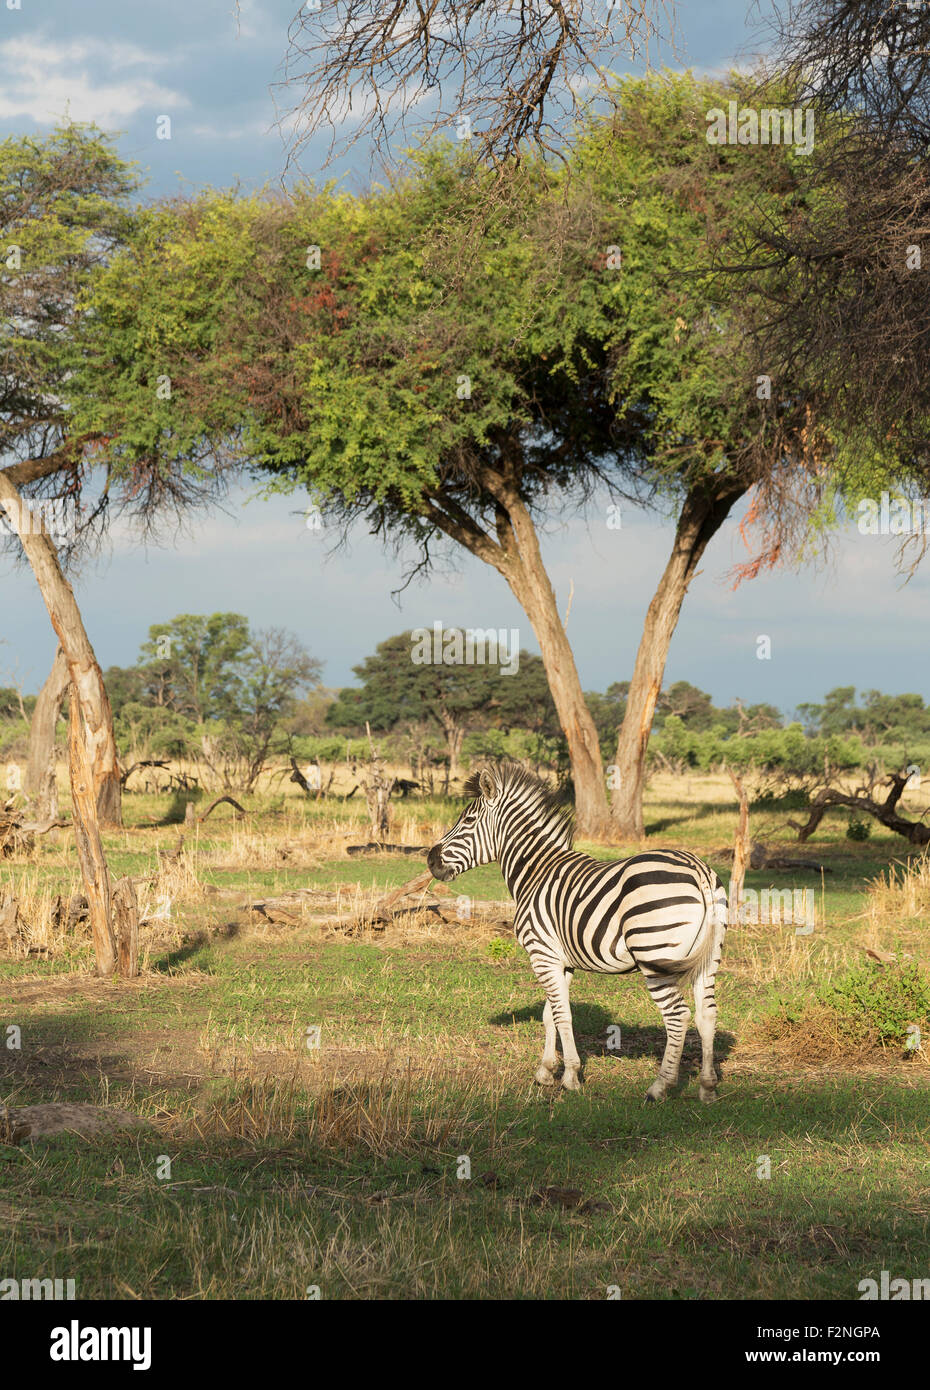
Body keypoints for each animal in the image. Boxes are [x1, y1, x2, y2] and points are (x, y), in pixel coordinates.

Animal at [427, 760, 728, 1103]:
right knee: (707, 1014)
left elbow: (562, 1015)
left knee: (678, 1016)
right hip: (709, 957)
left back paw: (658, 1088)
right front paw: (546, 1071)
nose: (430, 860)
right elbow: (550, 1015)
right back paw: (707, 1088)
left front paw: (570, 1076)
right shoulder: (561, 960)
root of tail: (698, 869)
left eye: (468, 820)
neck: (535, 870)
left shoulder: (541, 953)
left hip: (654, 954)